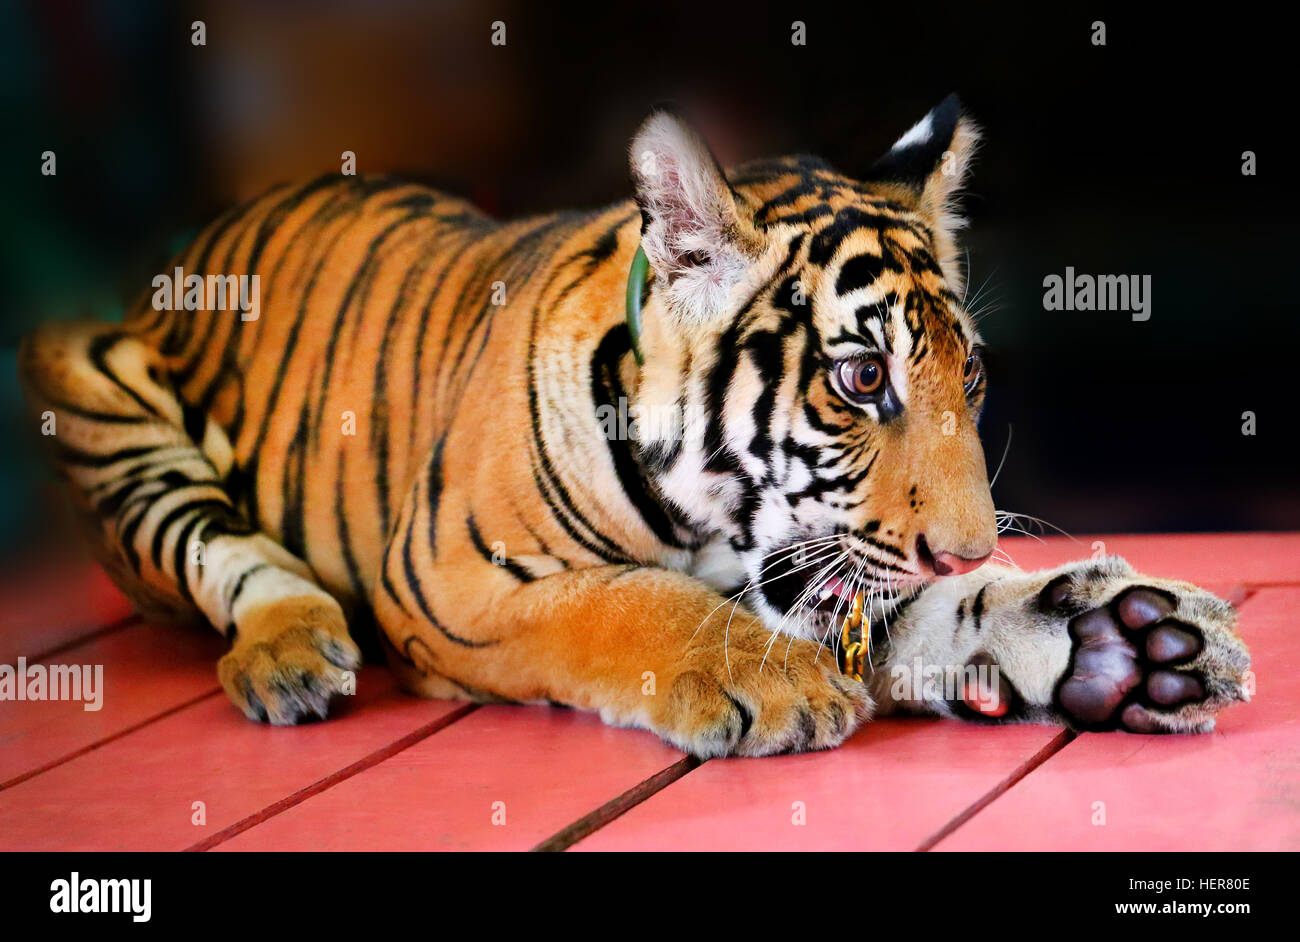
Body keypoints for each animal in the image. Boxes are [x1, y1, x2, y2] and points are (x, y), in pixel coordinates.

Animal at [19, 96, 1250, 757]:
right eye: (860, 378)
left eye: (974, 376)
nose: (968, 546)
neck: (716, 520)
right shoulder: (450, 580)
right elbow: (625, 602)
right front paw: (781, 685)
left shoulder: (831, 560)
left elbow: (934, 605)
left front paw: (1122, 640)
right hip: (87, 373)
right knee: (222, 553)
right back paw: (290, 658)